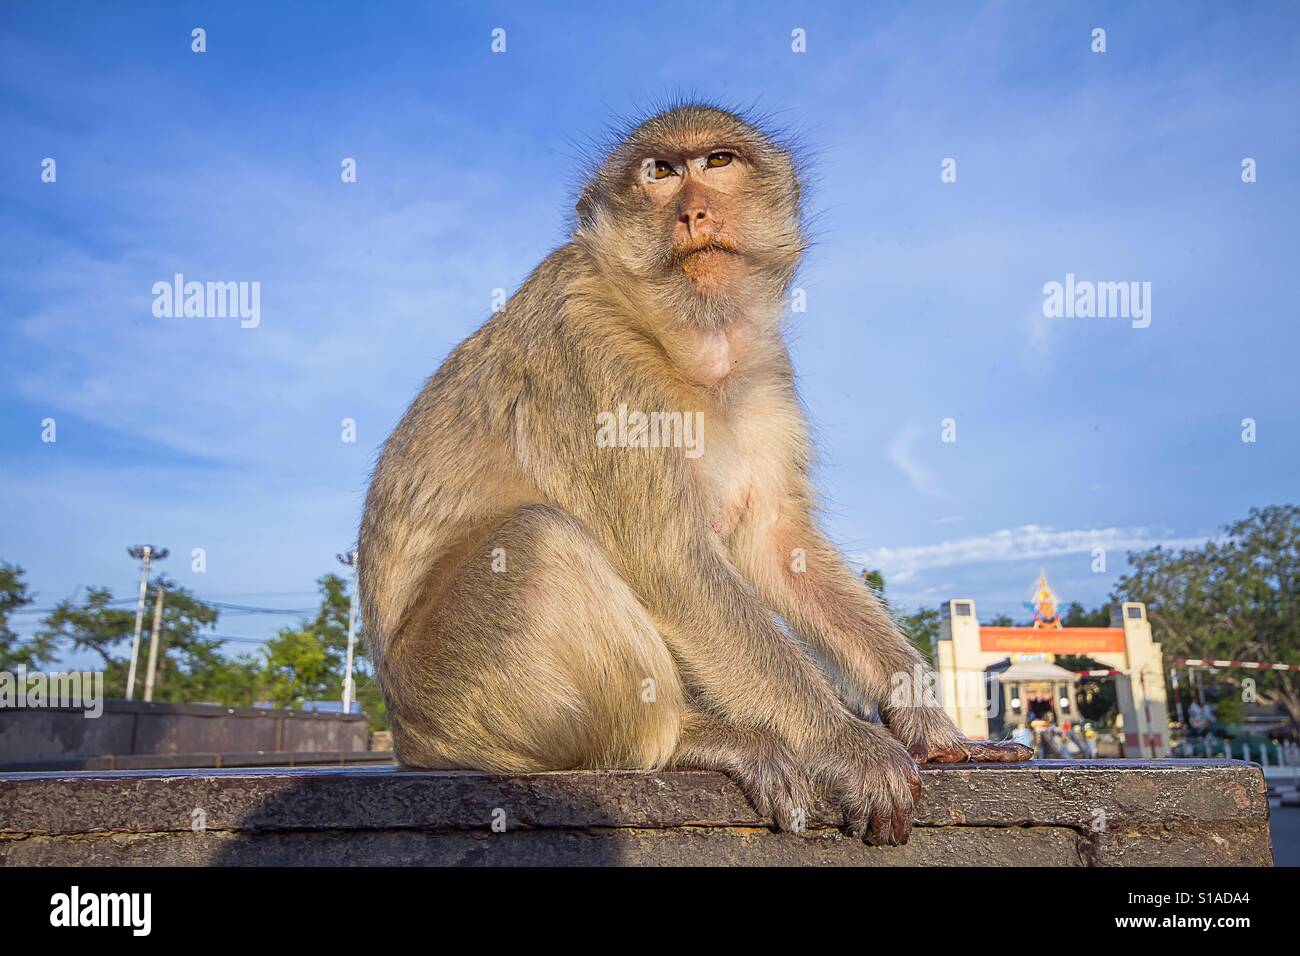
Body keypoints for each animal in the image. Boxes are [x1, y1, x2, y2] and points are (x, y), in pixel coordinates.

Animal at [358, 103, 1030, 847]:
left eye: (717, 163)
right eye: (660, 172)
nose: (693, 212)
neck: (684, 343)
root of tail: (406, 737)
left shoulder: (766, 370)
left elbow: (775, 540)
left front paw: (930, 726)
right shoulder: (594, 359)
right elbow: (669, 560)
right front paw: (848, 746)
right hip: (461, 699)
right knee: (539, 540)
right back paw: (686, 739)